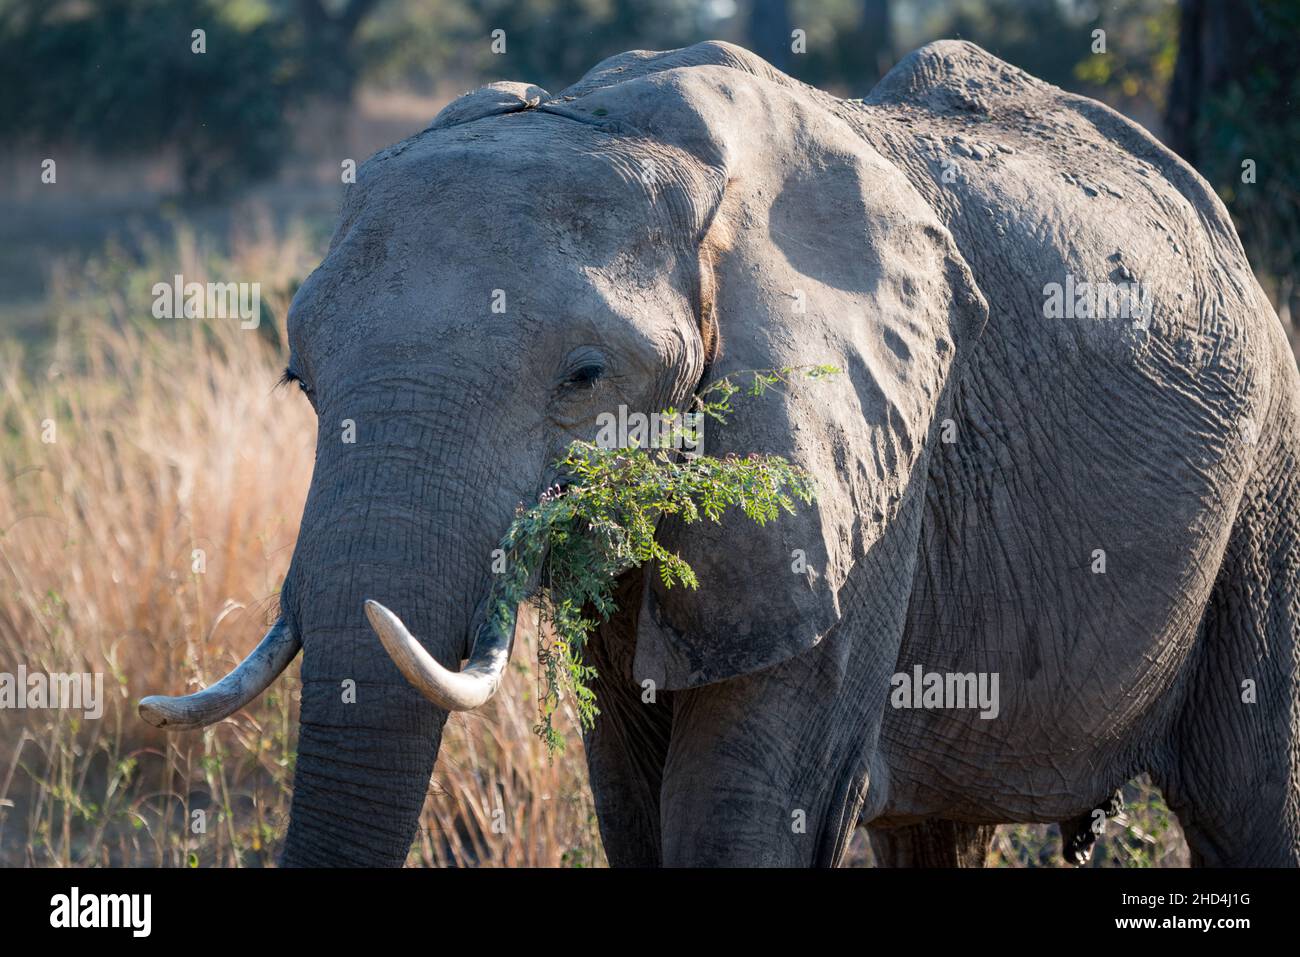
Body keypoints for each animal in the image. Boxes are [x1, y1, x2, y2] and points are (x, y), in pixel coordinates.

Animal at [140, 39, 1300, 868]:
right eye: (301, 382)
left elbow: (740, 814)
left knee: (1251, 804)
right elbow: (633, 801)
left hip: (1269, 476)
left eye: (584, 378)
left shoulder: (874, 480)